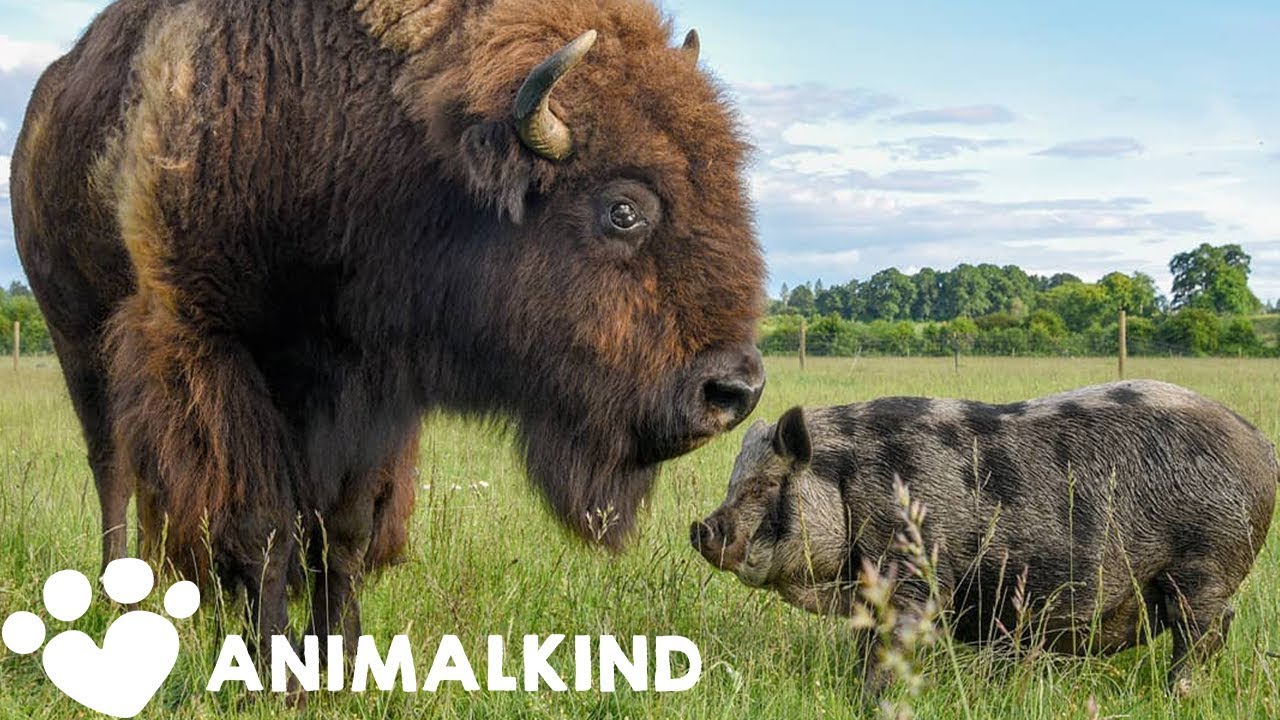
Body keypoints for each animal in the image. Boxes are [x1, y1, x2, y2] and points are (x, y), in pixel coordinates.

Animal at [12, 0, 765, 649]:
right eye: (622, 209)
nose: (736, 391)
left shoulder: (369, 385)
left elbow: (342, 527)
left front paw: (340, 658)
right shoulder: (205, 346)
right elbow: (260, 527)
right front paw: (276, 672)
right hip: (79, 341)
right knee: (114, 470)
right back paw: (118, 602)